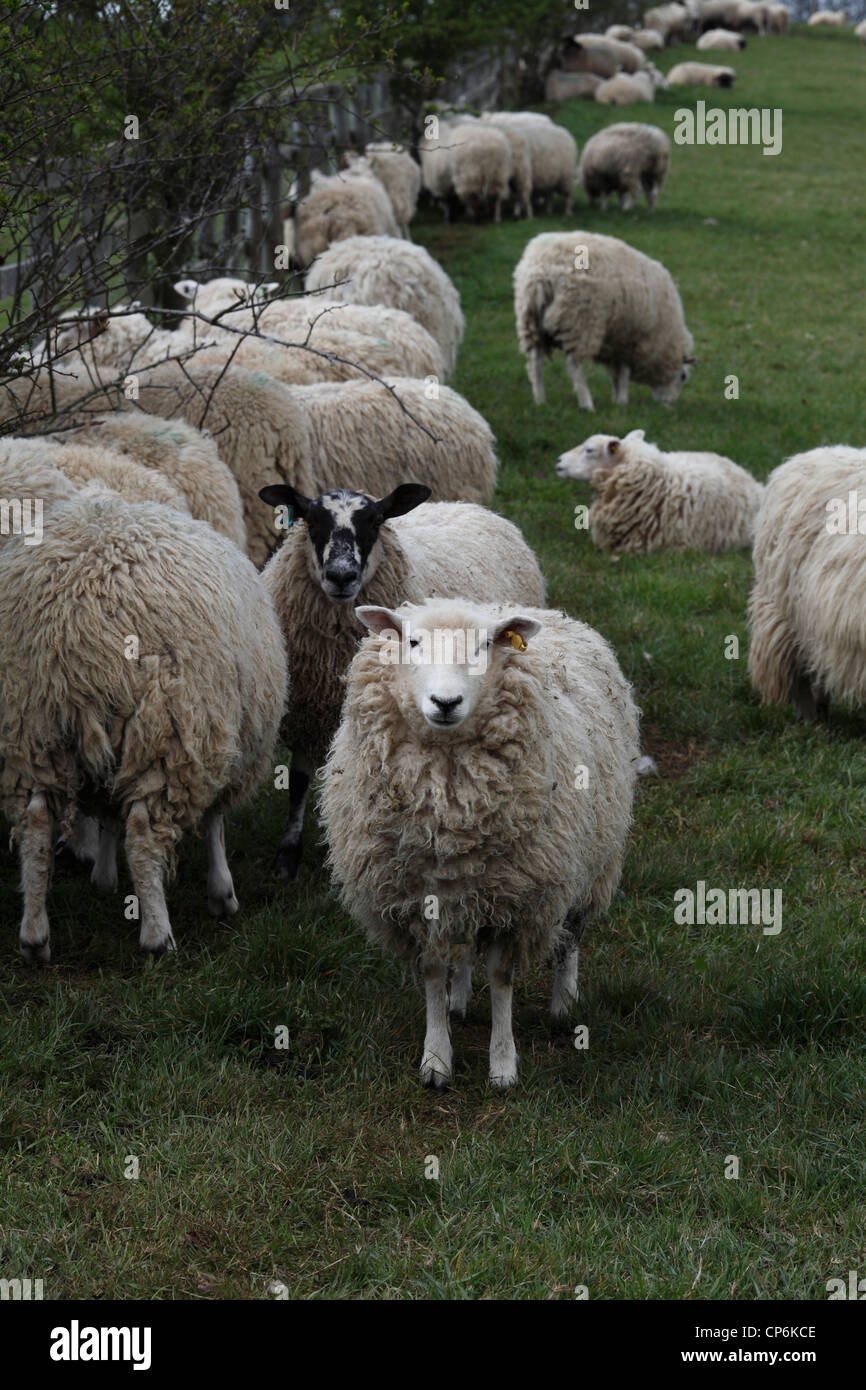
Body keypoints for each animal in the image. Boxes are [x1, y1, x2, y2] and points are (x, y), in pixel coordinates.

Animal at [0, 489, 286, 960]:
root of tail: (75, 623)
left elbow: (108, 816)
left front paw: (102, 875)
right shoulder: (218, 738)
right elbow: (215, 821)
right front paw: (222, 893)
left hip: (30, 724)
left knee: (36, 824)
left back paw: (34, 936)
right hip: (167, 726)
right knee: (143, 832)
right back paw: (157, 935)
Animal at [257, 484, 546, 879]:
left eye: (375, 522)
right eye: (311, 520)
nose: (341, 575)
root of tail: (463, 505)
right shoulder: (308, 711)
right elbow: (299, 780)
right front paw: (288, 854)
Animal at [319, 597, 639, 1089]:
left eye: (485, 645)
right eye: (413, 642)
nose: (446, 702)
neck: (451, 801)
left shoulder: (518, 899)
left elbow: (502, 980)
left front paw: (503, 1064)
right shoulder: (420, 898)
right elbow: (434, 972)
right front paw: (436, 1057)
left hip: (591, 864)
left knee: (570, 935)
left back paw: (564, 1003)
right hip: (468, 887)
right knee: (465, 944)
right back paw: (460, 999)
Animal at [513, 231, 695, 411]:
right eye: (683, 376)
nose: (670, 404)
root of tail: (541, 272)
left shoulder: (615, 340)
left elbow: (615, 372)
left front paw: (616, 399)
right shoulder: (630, 339)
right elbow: (623, 372)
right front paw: (622, 399)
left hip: (530, 321)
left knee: (536, 363)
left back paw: (540, 400)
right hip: (580, 321)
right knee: (574, 365)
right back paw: (587, 404)